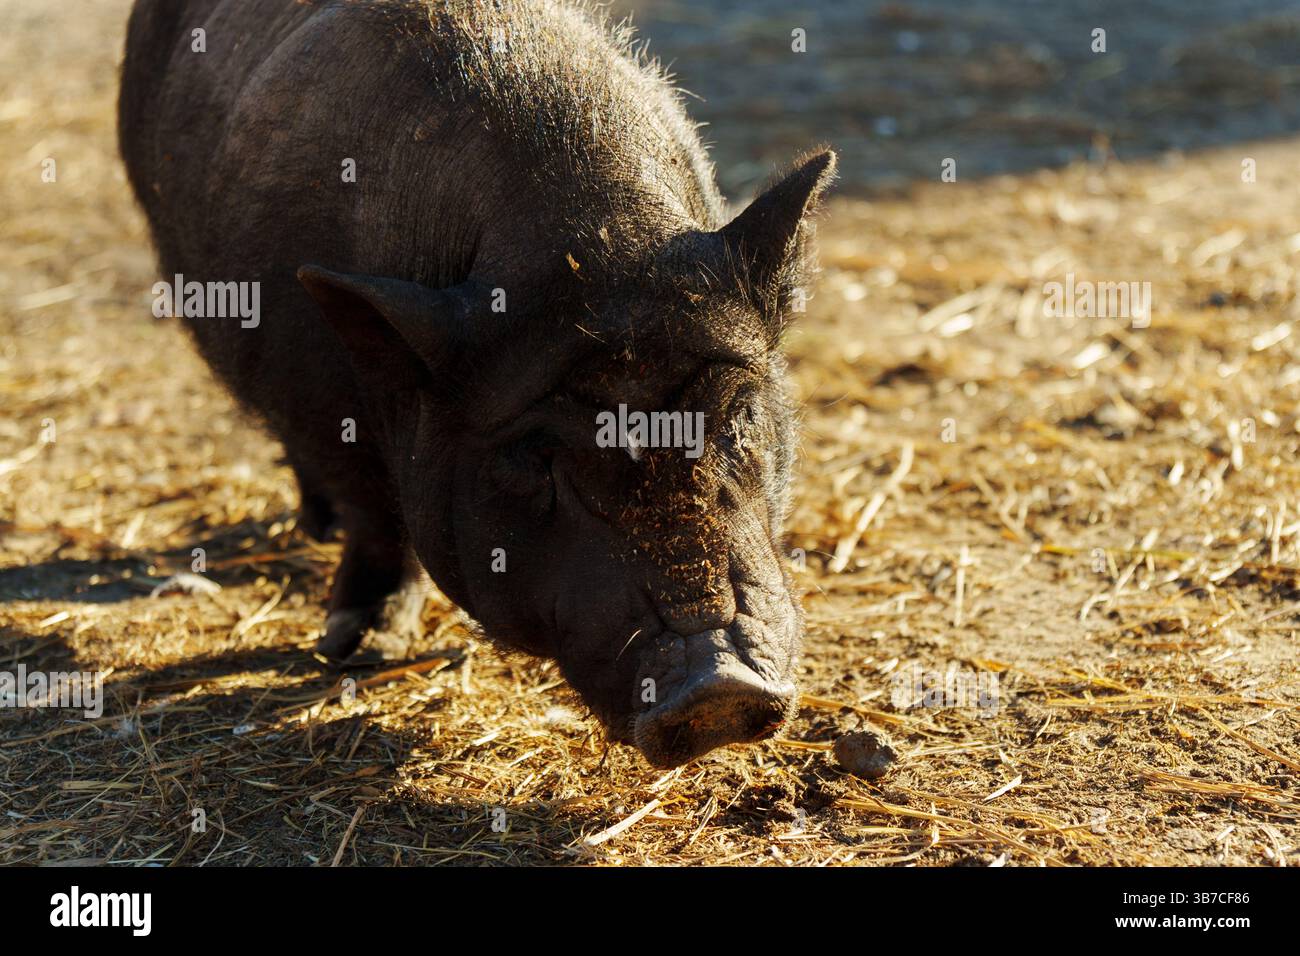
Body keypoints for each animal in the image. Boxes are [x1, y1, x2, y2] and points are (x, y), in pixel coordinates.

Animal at [119, 0, 835, 767]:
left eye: (739, 416)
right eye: (532, 455)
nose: (719, 687)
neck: (590, 240)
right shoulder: (311, 399)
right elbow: (376, 514)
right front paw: (357, 647)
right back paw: (317, 533)